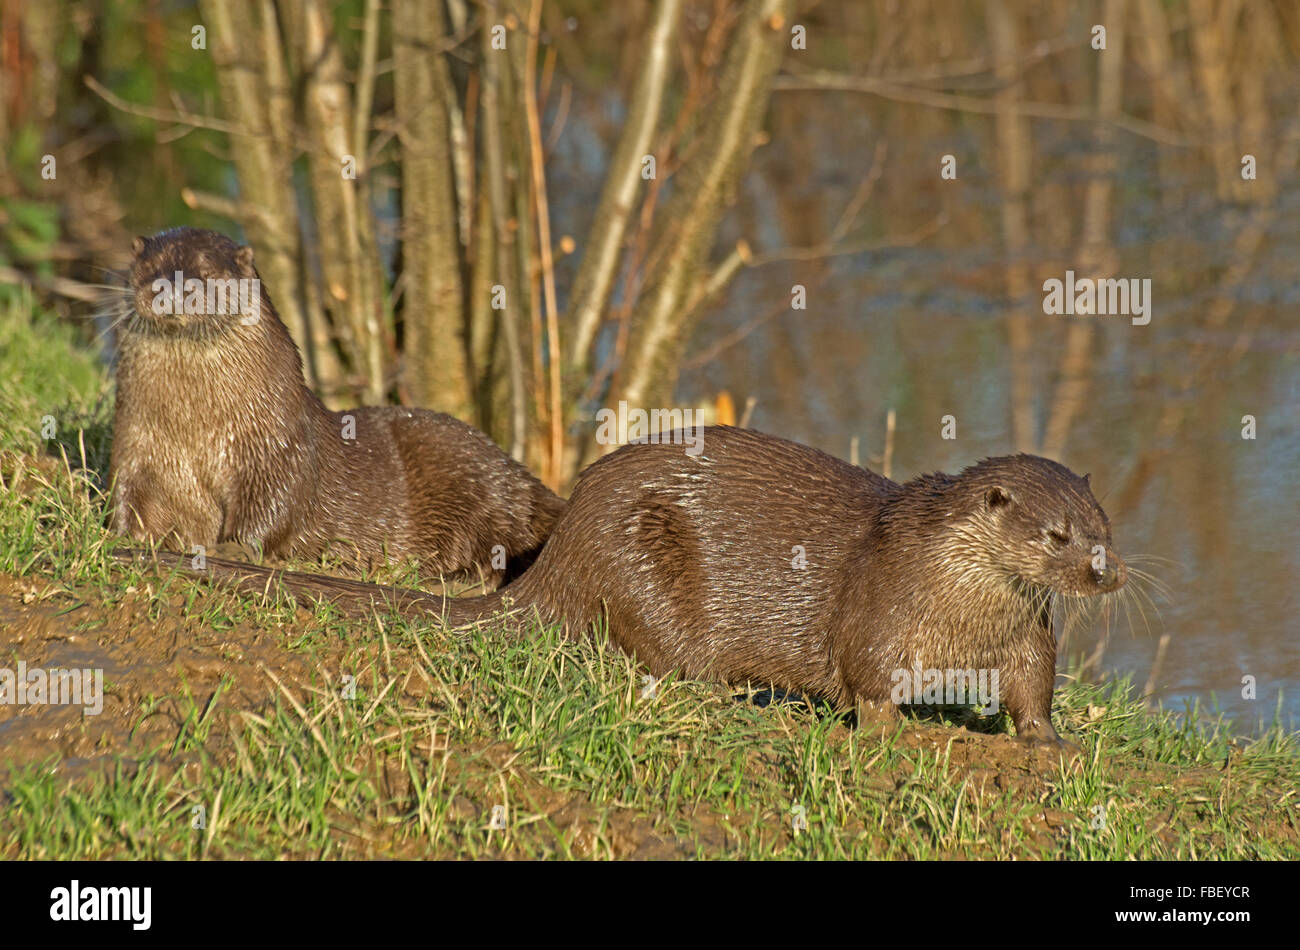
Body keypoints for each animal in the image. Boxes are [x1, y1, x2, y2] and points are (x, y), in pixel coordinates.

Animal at [109, 227, 564, 584]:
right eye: (152, 268)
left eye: (204, 275)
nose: (170, 289)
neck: (195, 429)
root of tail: (525, 479)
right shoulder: (136, 442)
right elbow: (128, 495)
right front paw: (123, 537)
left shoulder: (275, 447)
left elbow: (275, 505)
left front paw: (234, 549)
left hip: (479, 485)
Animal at [130, 426, 1126, 744]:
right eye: (1057, 534)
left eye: (1105, 530)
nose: (1101, 573)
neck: (958, 610)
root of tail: (563, 552)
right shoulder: (880, 608)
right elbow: (868, 676)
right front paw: (889, 733)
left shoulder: (1026, 636)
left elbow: (1033, 689)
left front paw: (1047, 741)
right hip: (643, 562)